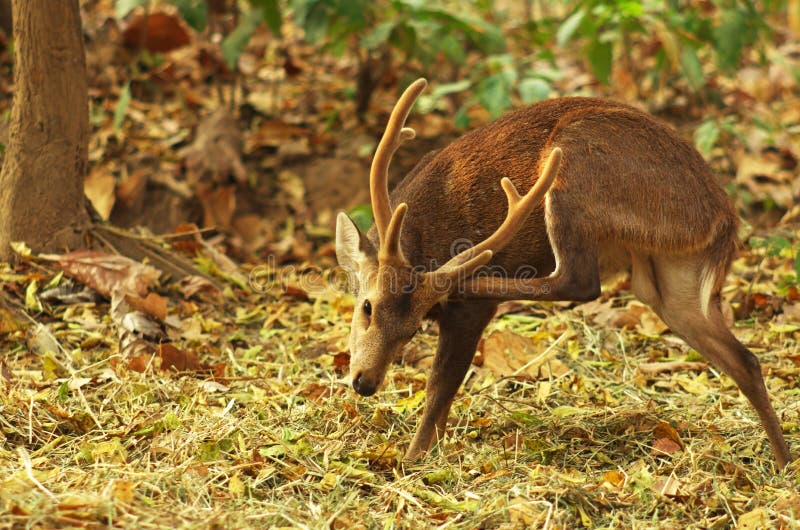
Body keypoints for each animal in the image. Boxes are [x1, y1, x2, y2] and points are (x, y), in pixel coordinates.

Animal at [335, 78, 792, 469]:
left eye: (412, 329)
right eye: (366, 306)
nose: (363, 382)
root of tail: (724, 218)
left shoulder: (467, 316)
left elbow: (439, 386)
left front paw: (411, 460)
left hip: (575, 161)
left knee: (579, 280)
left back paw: (473, 279)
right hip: (671, 276)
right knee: (744, 359)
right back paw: (784, 462)